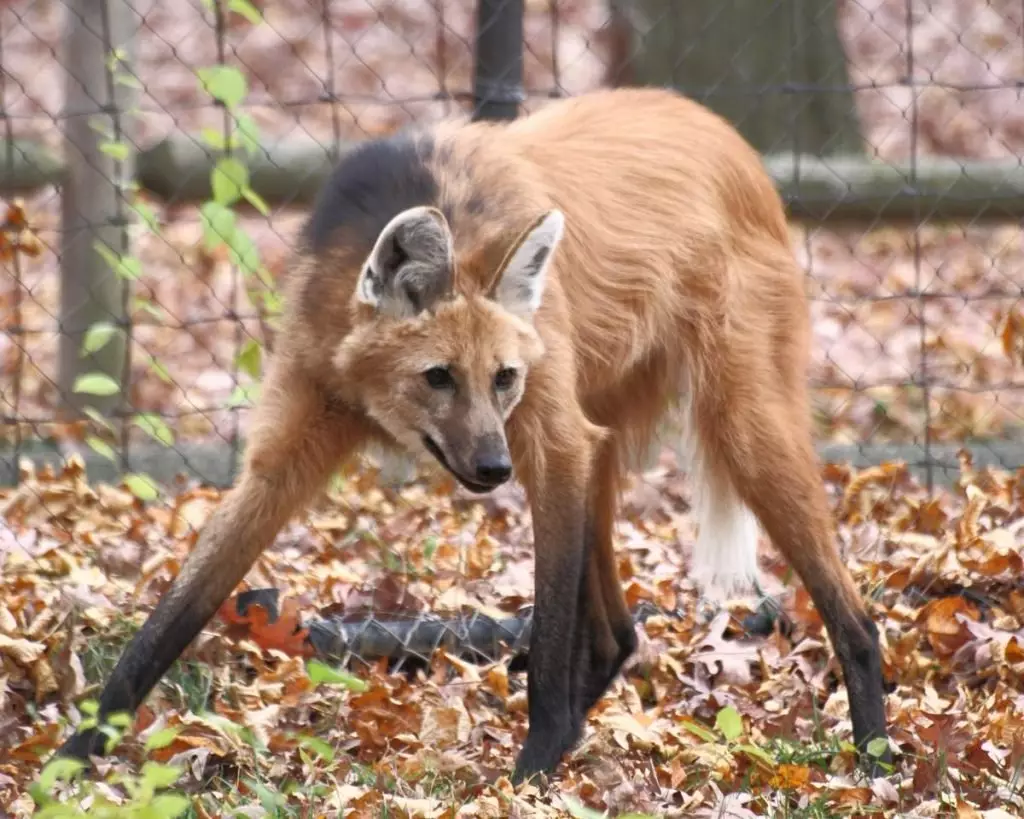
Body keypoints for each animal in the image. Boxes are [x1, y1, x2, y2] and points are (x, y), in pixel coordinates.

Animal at [58, 86, 888, 782]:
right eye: (438, 377)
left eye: (503, 377)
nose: (491, 468)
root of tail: (730, 137)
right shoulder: (288, 447)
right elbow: (173, 613)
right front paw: (72, 755)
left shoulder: (544, 439)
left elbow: (549, 628)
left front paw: (531, 769)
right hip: (603, 433)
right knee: (618, 630)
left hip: (735, 426)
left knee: (852, 613)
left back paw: (874, 756)